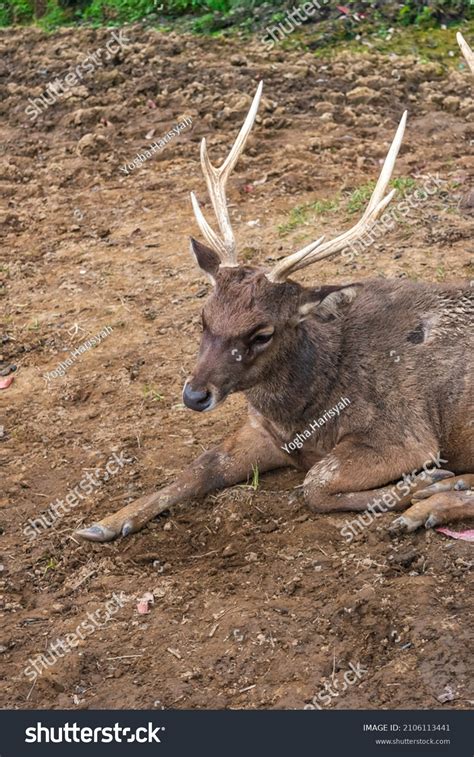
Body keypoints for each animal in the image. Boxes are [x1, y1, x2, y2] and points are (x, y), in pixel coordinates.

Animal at [76, 36, 473, 543]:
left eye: (262, 332)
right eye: (202, 319)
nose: (194, 395)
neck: (306, 409)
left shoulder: (404, 432)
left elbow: (315, 483)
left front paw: (422, 484)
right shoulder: (262, 430)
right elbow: (200, 466)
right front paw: (105, 522)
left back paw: (432, 503)